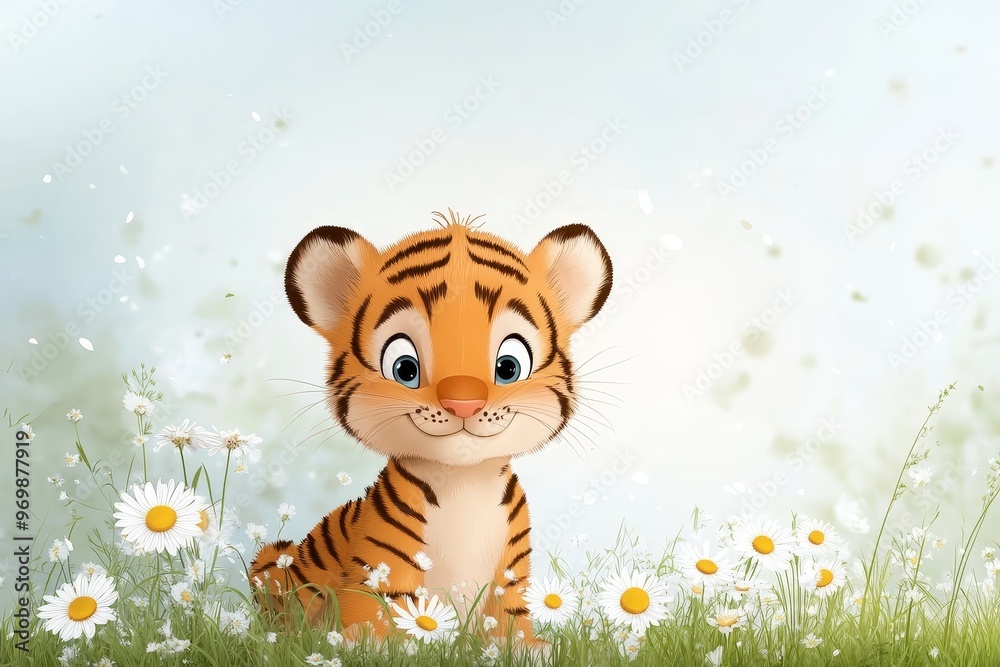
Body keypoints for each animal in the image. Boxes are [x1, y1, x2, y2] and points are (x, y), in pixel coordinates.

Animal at [249, 210, 613, 647]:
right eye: (405, 368)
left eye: (509, 366)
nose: (463, 403)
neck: (464, 482)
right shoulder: (382, 571)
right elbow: (383, 621)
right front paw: (381, 645)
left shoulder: (509, 576)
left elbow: (509, 622)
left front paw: (526, 648)